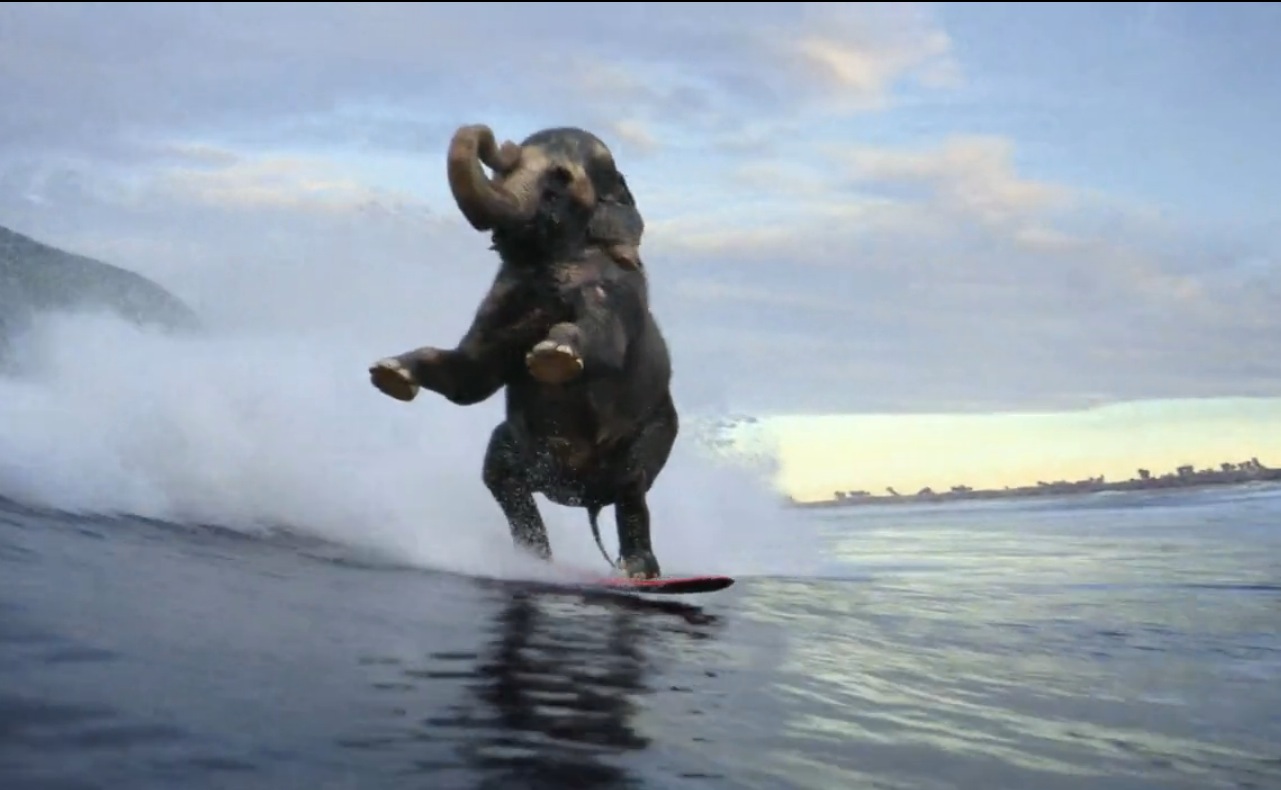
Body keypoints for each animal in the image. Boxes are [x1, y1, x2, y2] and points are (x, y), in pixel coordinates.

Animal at [367, 124, 677, 579]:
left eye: (560, 180)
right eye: (501, 172)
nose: (497, 140)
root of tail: (583, 497)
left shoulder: (620, 291)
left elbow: (605, 346)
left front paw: (553, 354)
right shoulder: (502, 298)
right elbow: (472, 378)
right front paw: (390, 372)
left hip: (657, 430)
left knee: (632, 487)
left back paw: (639, 572)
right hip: (517, 448)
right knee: (499, 475)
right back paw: (534, 562)